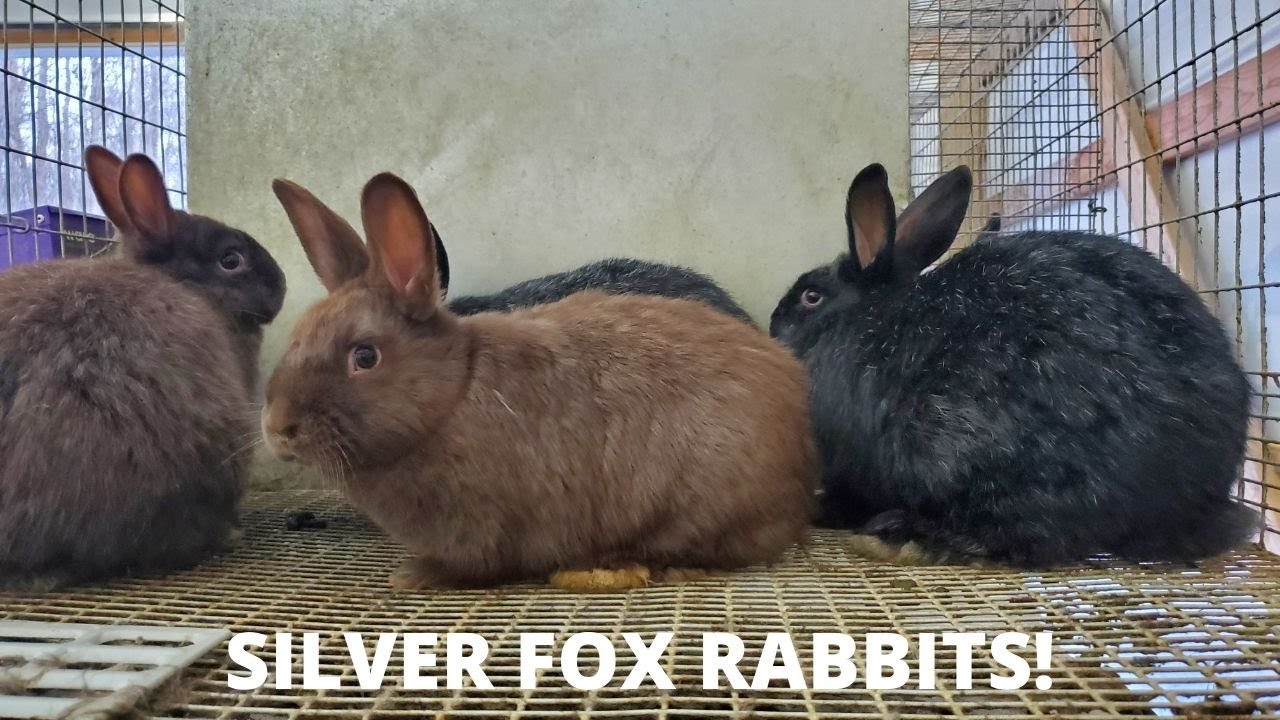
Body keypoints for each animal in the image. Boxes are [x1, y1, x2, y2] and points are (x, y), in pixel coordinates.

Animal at [265, 174, 815, 591]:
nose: (276, 428)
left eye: (364, 356)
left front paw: (416, 576)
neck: (454, 392)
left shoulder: (483, 528)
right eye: (297, 336)